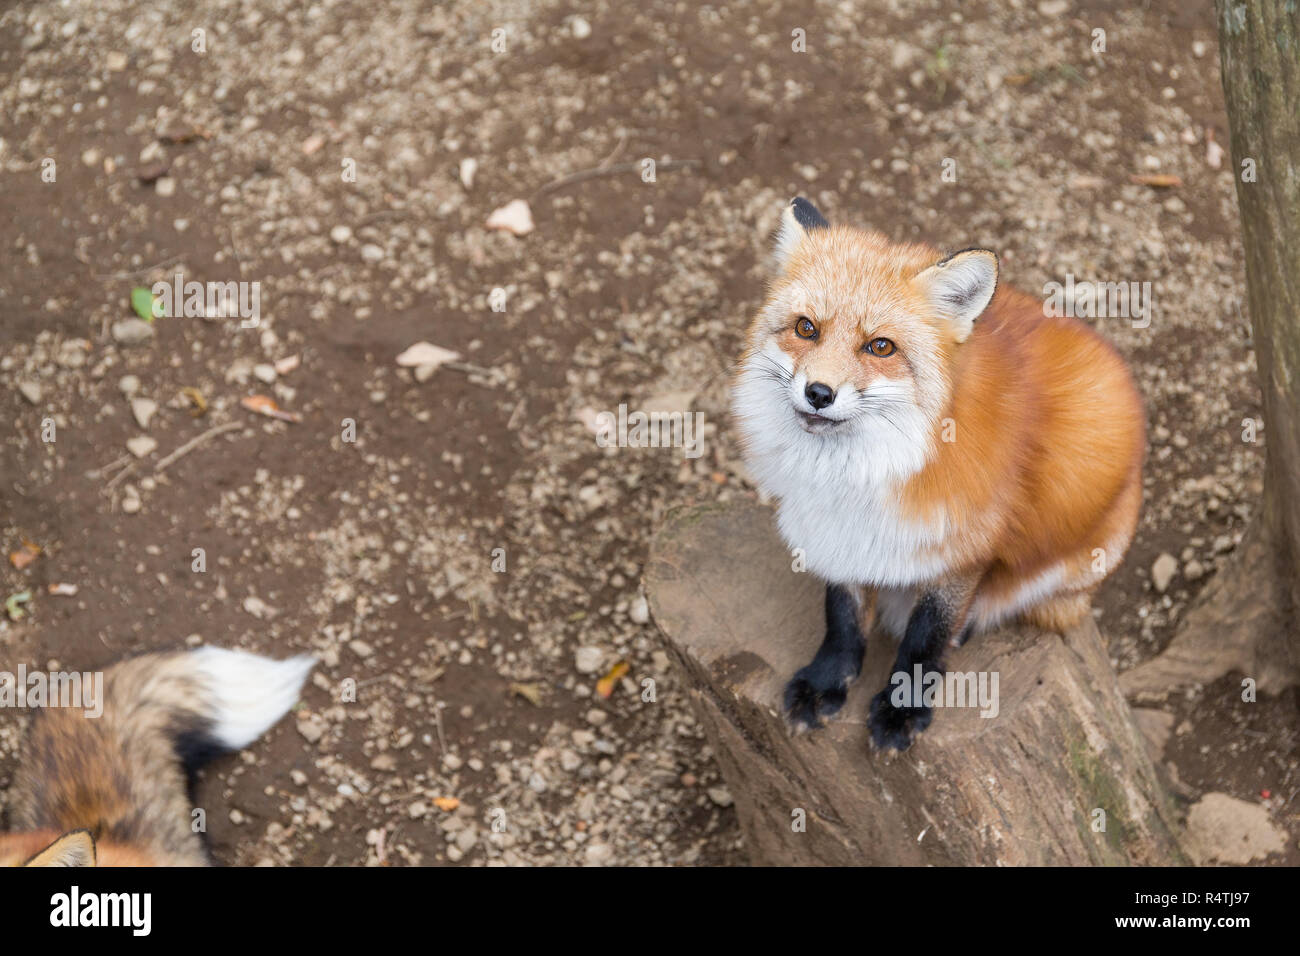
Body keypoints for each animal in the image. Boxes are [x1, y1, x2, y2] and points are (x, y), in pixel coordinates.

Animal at [732, 197, 1145, 751]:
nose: (818, 393)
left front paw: (902, 709)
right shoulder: (837, 534)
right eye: (805, 328)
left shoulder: (963, 548)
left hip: (1079, 567)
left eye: (880, 347)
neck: (863, 473)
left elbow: (926, 635)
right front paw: (826, 682)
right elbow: (841, 617)